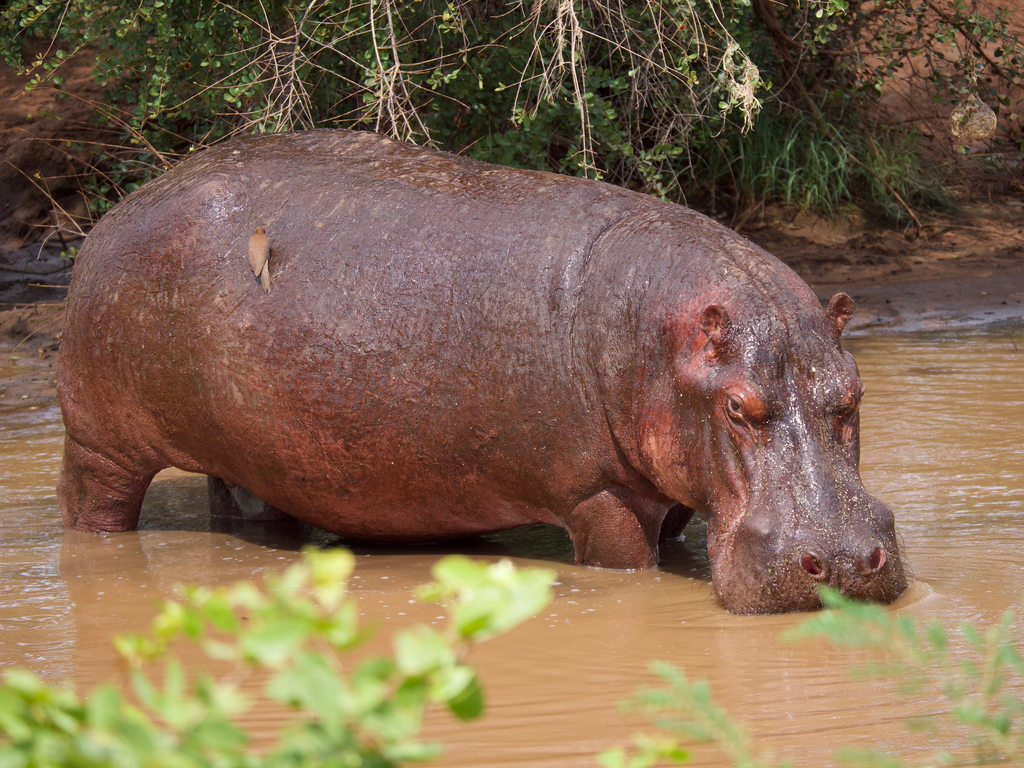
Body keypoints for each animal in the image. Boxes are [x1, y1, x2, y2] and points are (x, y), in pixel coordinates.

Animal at [56, 129, 907, 614]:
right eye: (736, 406)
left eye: (854, 394)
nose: (842, 561)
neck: (660, 338)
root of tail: (125, 203)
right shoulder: (596, 494)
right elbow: (627, 565)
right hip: (101, 443)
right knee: (92, 508)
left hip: (255, 454)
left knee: (249, 504)